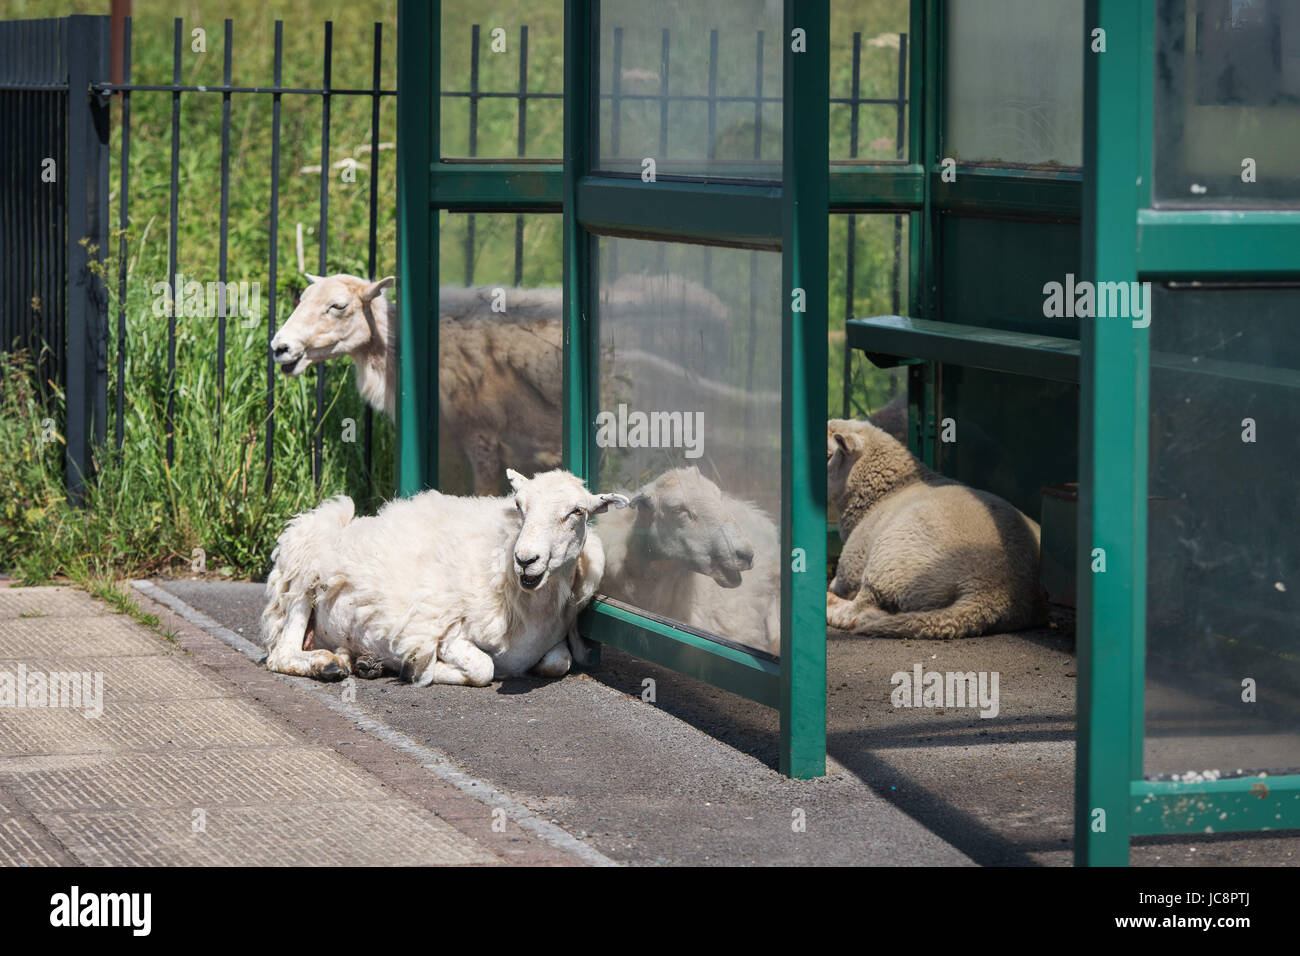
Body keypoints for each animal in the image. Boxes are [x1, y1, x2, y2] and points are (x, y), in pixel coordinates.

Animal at [260, 469, 629, 685]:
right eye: (519, 506)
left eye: (577, 512)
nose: (525, 560)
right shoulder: (448, 632)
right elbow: (482, 669)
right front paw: (413, 670)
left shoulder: (554, 643)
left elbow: (558, 662)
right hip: (308, 560)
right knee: (282, 654)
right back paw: (325, 666)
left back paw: (358, 661)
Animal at [826, 418, 1046, 639]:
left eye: (828, 455)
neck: (891, 491)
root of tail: (992, 592)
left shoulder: (852, 565)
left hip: (891, 561)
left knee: (860, 613)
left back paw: (831, 606)